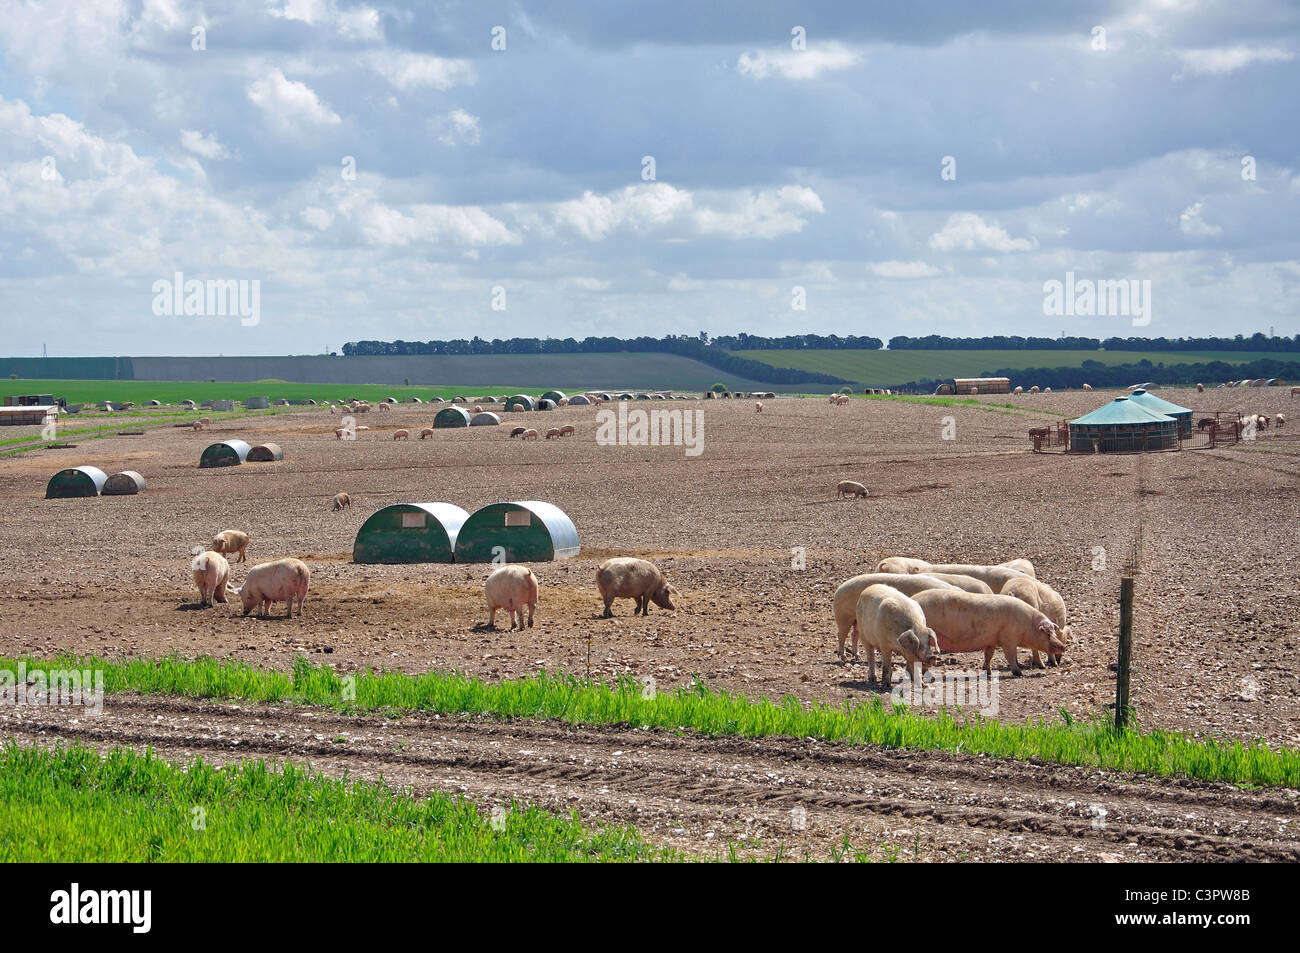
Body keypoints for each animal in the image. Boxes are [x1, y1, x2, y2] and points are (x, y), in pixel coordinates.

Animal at [912, 589, 1065, 676]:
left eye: (1054, 632)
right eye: (1047, 634)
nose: (1063, 646)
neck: (1027, 626)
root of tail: (913, 599)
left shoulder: (991, 640)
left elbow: (988, 655)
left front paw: (988, 672)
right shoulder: (1009, 639)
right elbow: (1011, 656)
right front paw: (1019, 673)